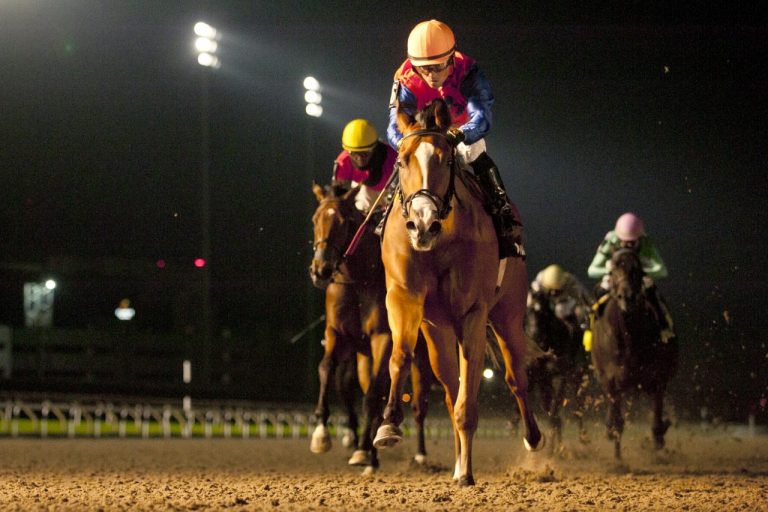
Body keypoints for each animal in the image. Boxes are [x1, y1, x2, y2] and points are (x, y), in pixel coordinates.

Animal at [309, 183, 433, 472]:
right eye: (314, 221)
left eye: (343, 222)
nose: (321, 270)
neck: (358, 279)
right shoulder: (338, 334)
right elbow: (326, 368)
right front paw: (321, 434)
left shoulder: (383, 337)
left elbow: (373, 395)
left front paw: (362, 450)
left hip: (421, 356)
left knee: (418, 404)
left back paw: (419, 455)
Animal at [372, 99, 544, 486]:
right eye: (402, 161)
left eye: (446, 159)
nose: (423, 224)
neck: (439, 243)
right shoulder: (404, 297)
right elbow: (401, 356)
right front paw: (388, 425)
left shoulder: (473, 313)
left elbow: (472, 393)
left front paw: (467, 472)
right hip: (438, 333)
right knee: (451, 389)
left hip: (508, 314)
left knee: (516, 378)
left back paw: (532, 438)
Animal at [525, 289, 589, 451]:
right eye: (528, 312)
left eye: (543, 313)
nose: (535, 337)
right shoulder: (537, 378)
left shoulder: (562, 376)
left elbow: (555, 410)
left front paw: (552, 449)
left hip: (577, 376)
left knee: (578, 404)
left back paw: (582, 437)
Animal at [590, 249, 678, 460]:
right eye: (612, 271)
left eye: (636, 270)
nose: (626, 297)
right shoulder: (611, 379)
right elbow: (617, 422)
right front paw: (618, 459)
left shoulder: (657, 377)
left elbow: (656, 421)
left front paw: (659, 442)